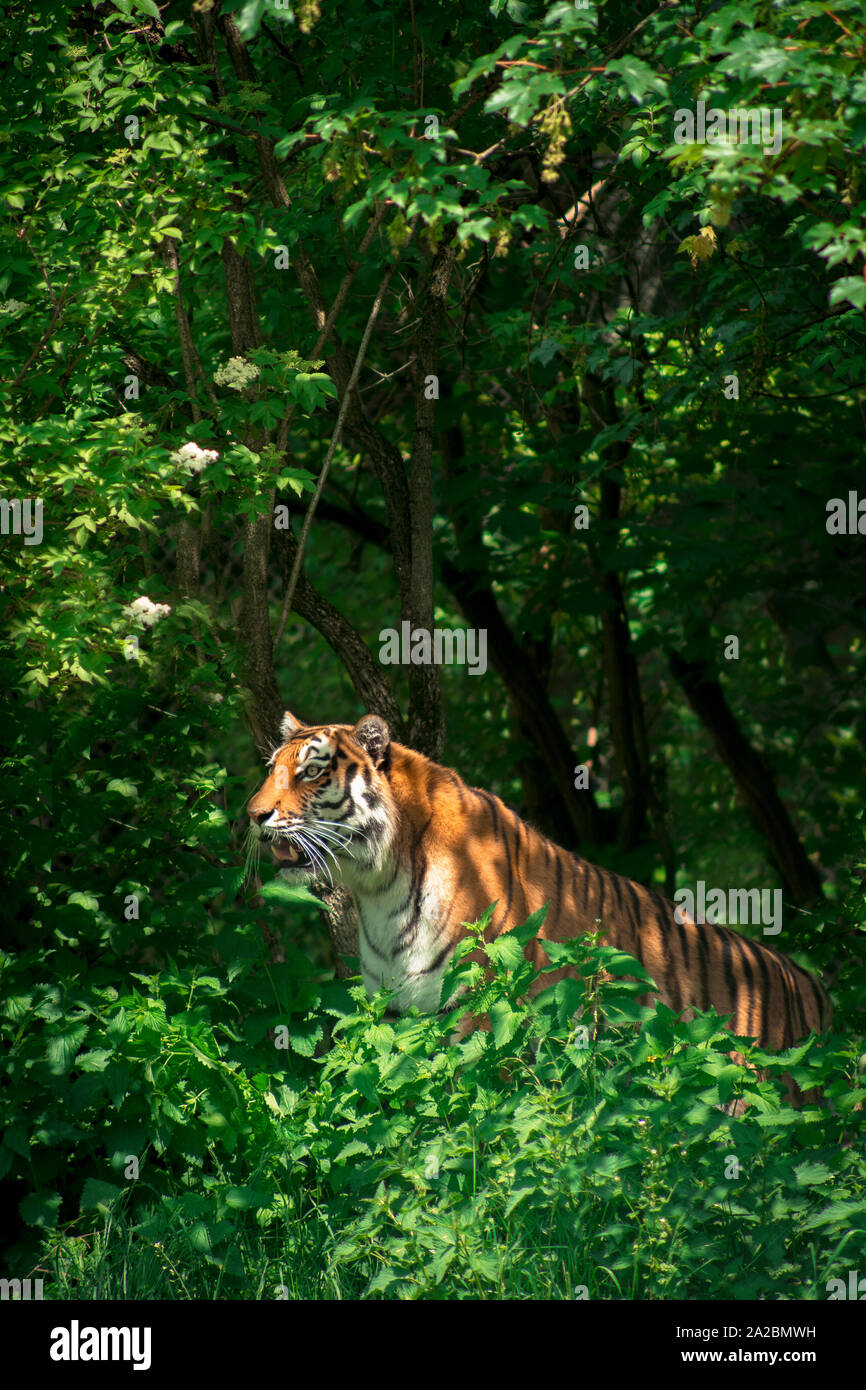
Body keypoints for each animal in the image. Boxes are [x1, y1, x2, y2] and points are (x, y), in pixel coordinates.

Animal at [248, 711, 832, 1061]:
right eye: (272, 769)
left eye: (310, 772)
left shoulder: (481, 1007)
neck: (380, 889)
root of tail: (815, 987)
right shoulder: (392, 1013)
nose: (253, 815)